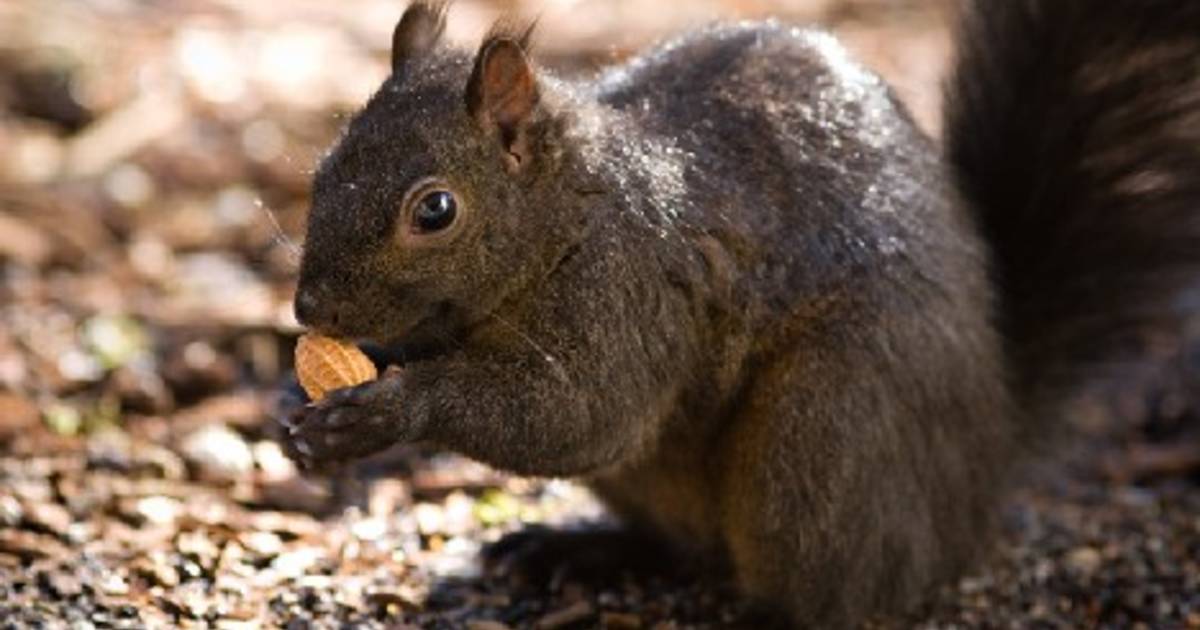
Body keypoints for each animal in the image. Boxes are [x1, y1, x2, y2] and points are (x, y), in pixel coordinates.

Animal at [281, 0, 1200, 626]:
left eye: (434, 210)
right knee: (691, 548)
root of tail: (989, 456)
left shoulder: (633, 289)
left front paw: (388, 409)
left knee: (837, 585)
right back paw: (585, 549)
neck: (570, 210)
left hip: (825, 430)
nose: (308, 305)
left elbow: (580, 413)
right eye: (323, 165)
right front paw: (304, 404)